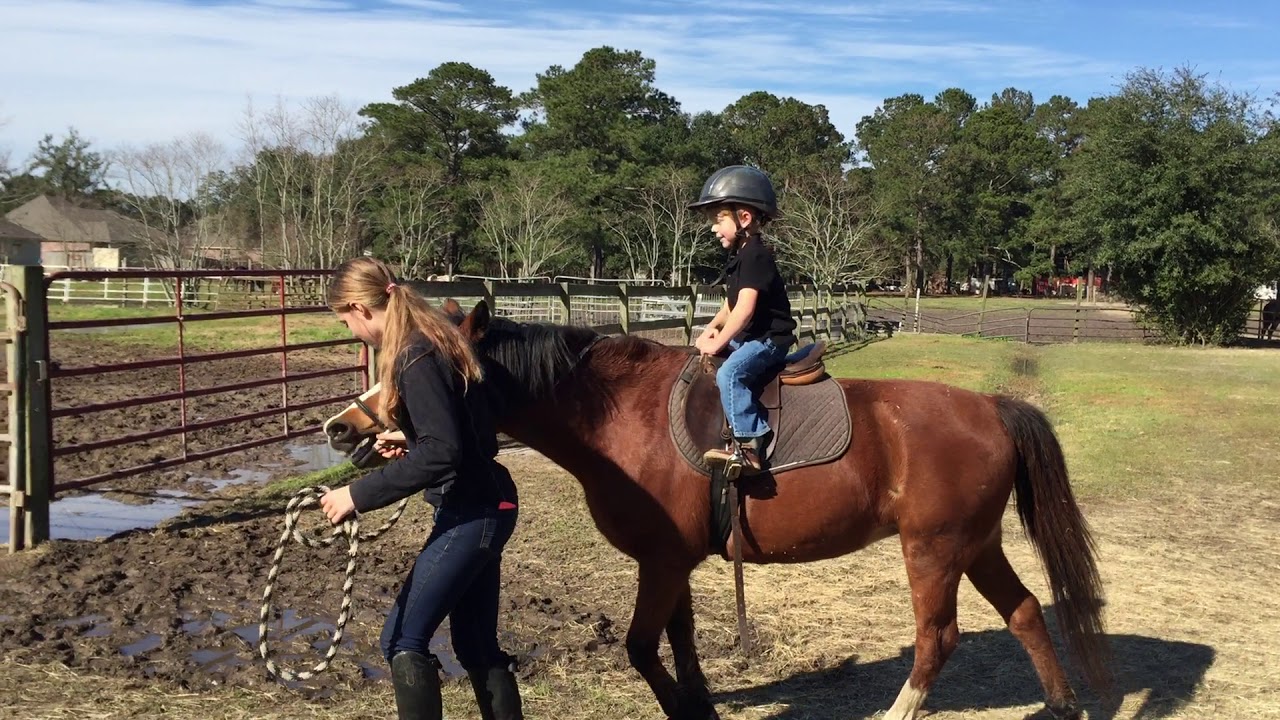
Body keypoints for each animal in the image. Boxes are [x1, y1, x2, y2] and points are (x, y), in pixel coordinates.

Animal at [326, 300, 1111, 720]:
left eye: (420, 369)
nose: (342, 428)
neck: (622, 419)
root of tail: (992, 407)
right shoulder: (673, 562)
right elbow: (679, 639)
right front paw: (699, 702)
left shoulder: (661, 562)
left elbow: (642, 646)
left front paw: (681, 707)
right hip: (976, 544)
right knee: (1025, 613)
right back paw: (1062, 703)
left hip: (935, 550)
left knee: (937, 638)